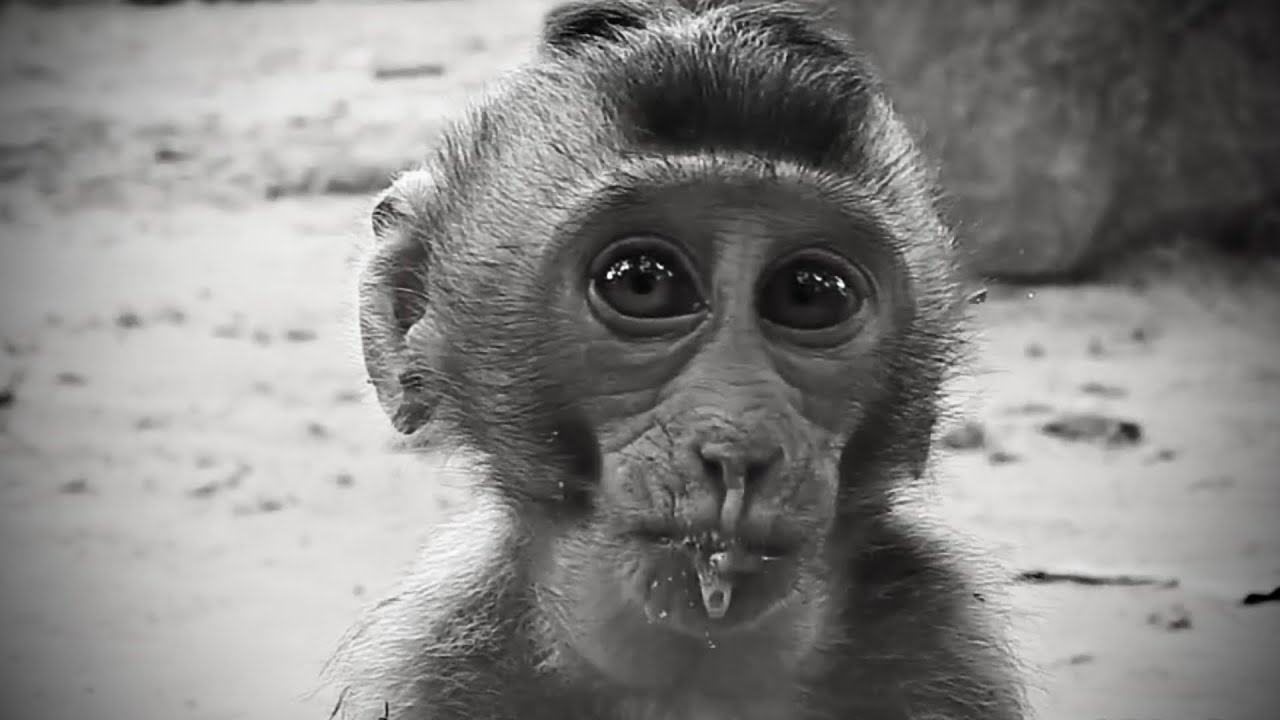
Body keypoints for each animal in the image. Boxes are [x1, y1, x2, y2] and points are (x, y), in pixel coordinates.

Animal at [322, 1, 1025, 718]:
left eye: (809, 294)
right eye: (643, 283)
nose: (739, 451)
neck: (690, 678)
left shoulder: (938, 637)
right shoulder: (437, 662)